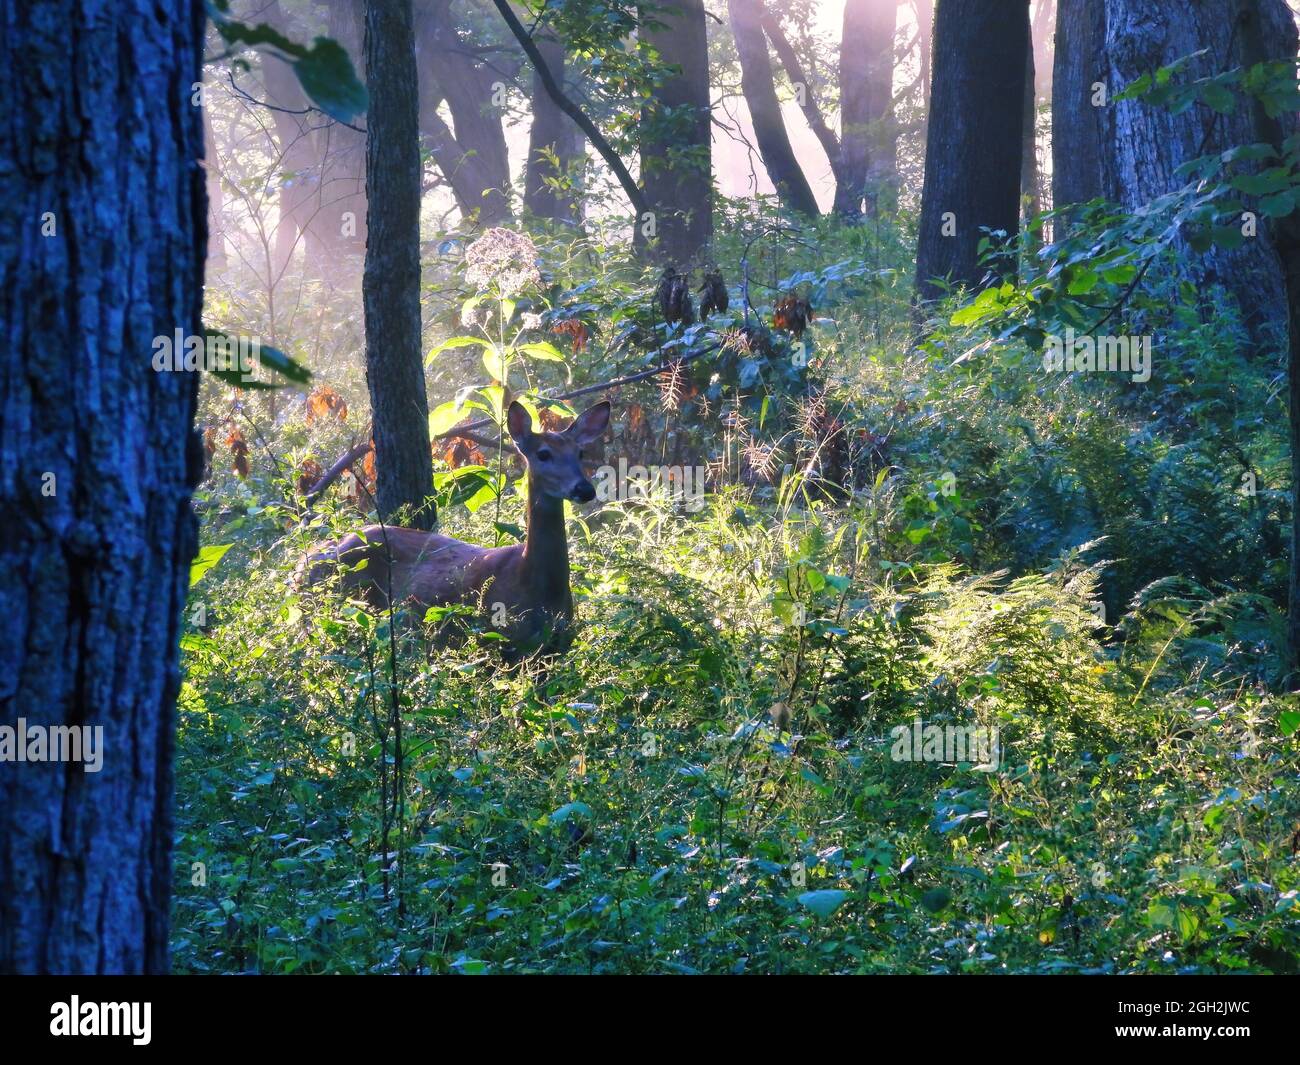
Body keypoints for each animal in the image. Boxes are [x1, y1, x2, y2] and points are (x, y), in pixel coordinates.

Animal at [305, 400, 611, 661]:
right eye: (543, 454)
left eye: (580, 452)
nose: (585, 489)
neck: (536, 584)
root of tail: (308, 557)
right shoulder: (500, 642)